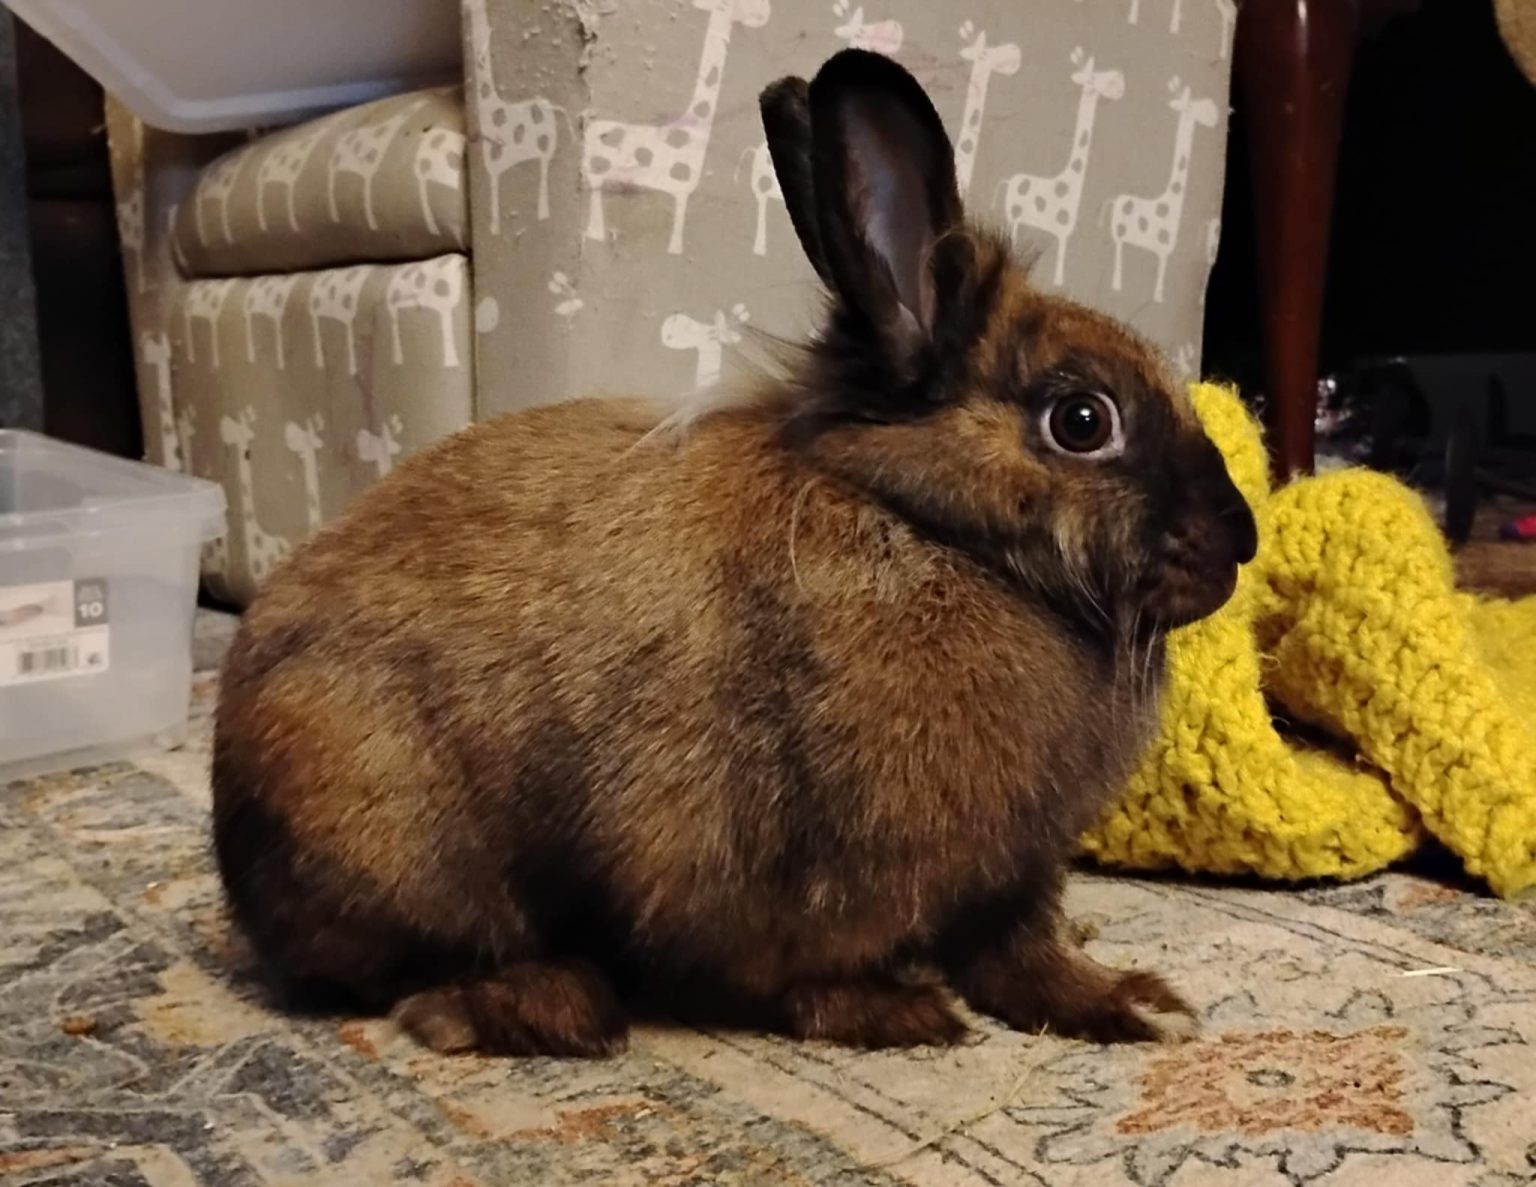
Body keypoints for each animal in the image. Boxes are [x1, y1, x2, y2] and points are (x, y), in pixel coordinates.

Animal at [212, 49, 1257, 1058]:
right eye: (1082, 420)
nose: (1240, 540)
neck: (931, 530)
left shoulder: (1011, 872)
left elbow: (1024, 959)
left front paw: (1135, 1004)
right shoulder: (780, 874)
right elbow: (802, 974)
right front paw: (902, 1013)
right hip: (390, 828)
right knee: (413, 967)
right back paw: (554, 1010)